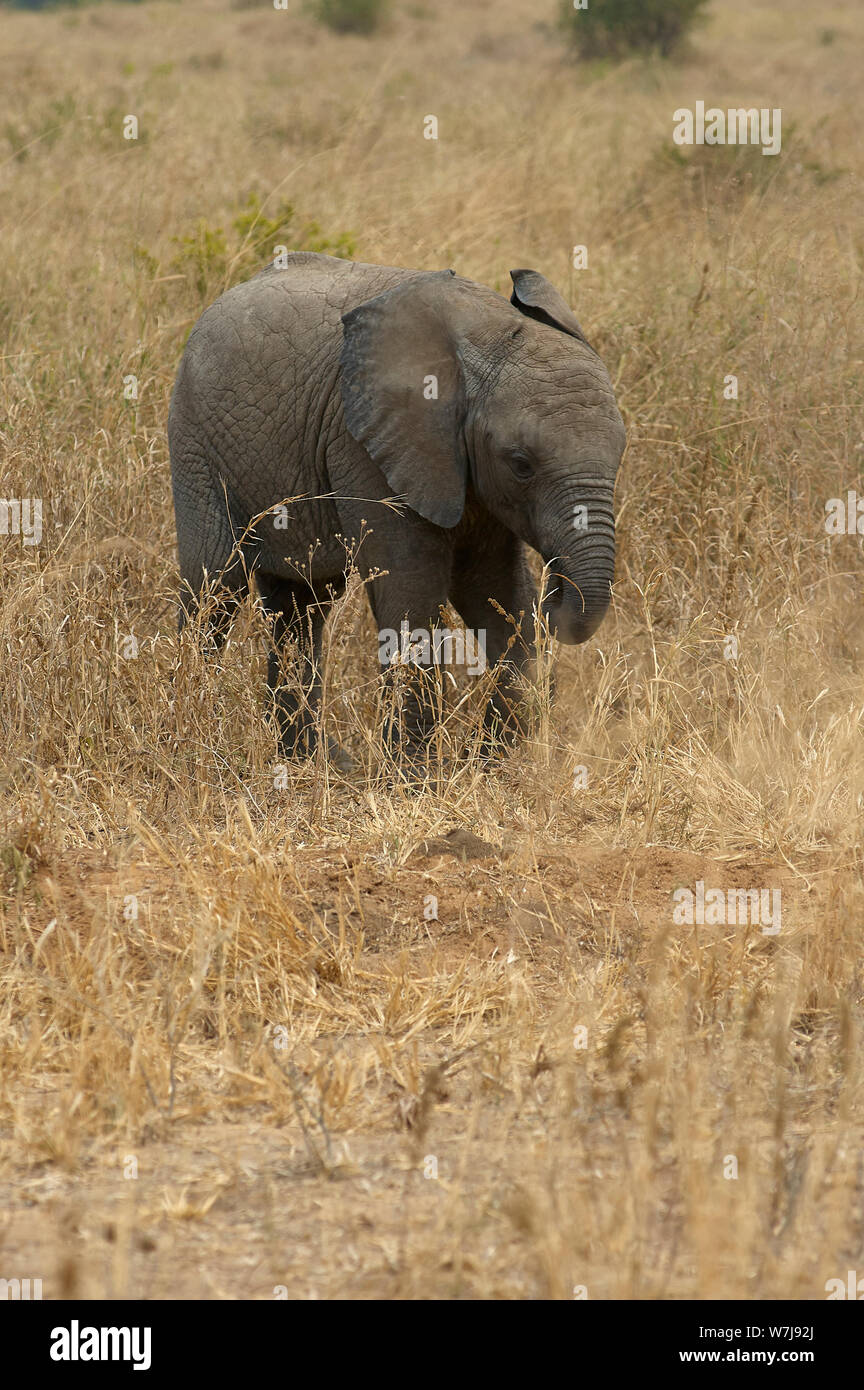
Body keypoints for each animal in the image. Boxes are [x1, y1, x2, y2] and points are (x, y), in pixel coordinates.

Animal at [168, 252, 625, 767]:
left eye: (620, 454)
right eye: (521, 464)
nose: (557, 591)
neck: (489, 336)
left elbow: (494, 591)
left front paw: (492, 764)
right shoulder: (365, 444)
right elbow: (413, 590)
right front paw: (417, 775)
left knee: (302, 604)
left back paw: (316, 764)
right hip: (196, 444)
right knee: (216, 586)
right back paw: (193, 736)